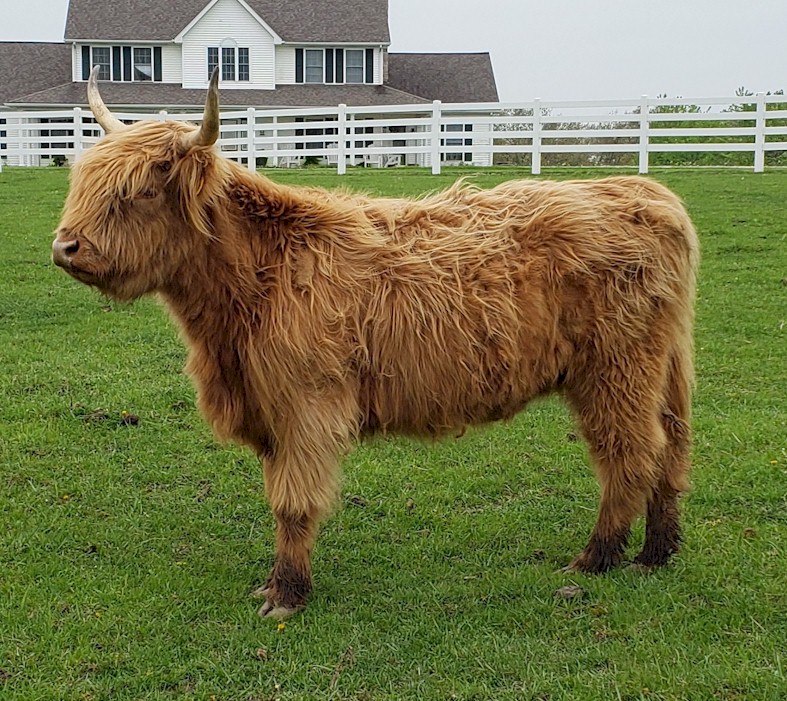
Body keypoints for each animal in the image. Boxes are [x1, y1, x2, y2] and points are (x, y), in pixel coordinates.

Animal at [52, 68, 699, 619]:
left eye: (140, 191)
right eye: (84, 182)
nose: (66, 247)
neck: (253, 282)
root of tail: (650, 195)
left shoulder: (306, 406)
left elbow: (292, 502)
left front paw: (286, 594)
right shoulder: (267, 406)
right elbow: (279, 495)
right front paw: (276, 585)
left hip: (616, 371)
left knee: (630, 453)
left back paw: (598, 557)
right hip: (662, 365)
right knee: (671, 449)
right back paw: (657, 552)